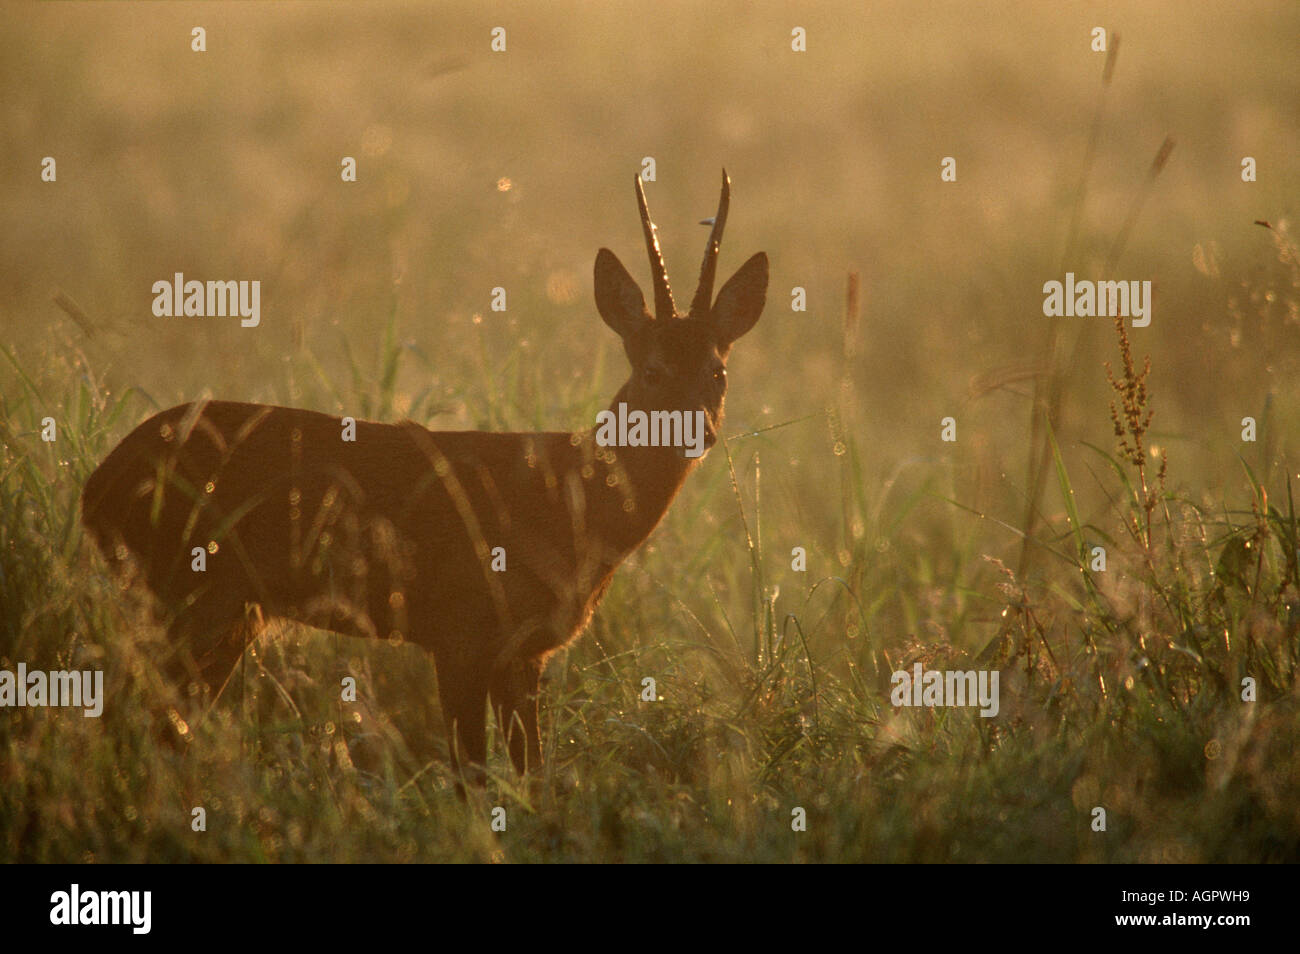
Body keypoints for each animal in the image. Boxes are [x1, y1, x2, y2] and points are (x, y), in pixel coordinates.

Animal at [80, 170, 768, 784]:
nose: (698, 430)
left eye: (717, 373)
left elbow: (532, 776)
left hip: (218, 612)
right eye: (652, 370)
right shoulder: (460, 631)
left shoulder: (523, 652)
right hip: (185, 595)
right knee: (129, 719)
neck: (569, 501)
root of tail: (95, 486)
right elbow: (471, 774)